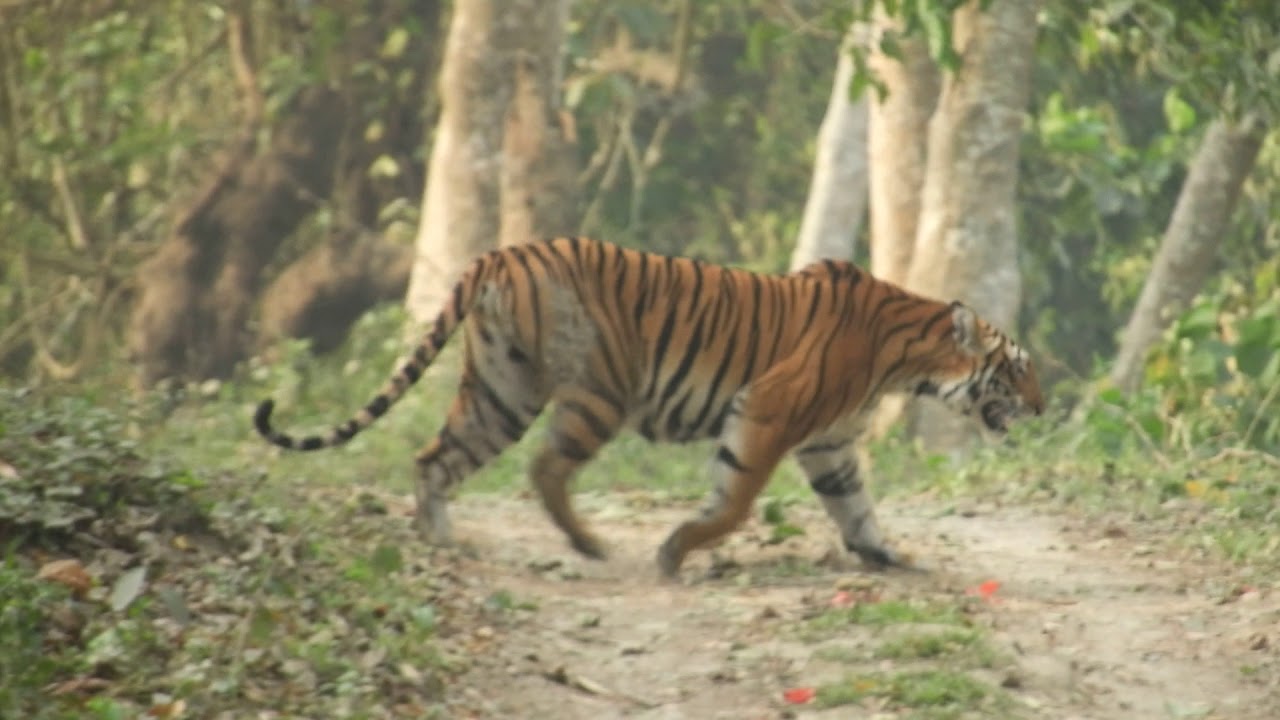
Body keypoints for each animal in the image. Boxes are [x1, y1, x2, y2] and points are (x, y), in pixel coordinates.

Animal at [254, 236, 1044, 579]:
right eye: (1018, 368)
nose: (1043, 407)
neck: (910, 360)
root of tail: (500, 255)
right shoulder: (769, 411)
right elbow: (735, 501)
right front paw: (675, 551)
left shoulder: (830, 443)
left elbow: (855, 506)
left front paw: (887, 555)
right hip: (601, 387)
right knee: (545, 468)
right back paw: (591, 546)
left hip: (501, 390)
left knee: (435, 457)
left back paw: (441, 540)